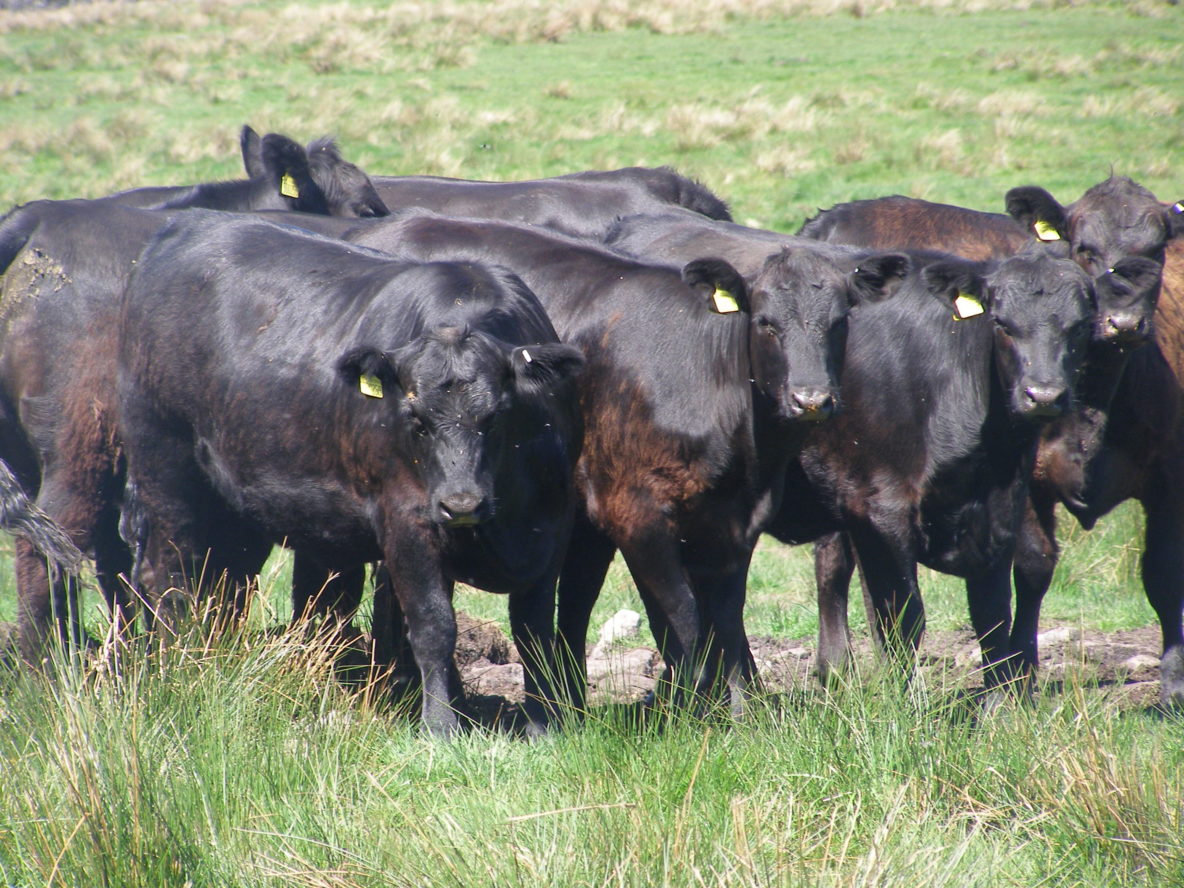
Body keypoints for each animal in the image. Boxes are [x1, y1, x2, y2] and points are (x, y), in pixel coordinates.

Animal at [115, 211, 584, 737]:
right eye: (415, 418)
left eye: (498, 414)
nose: (461, 503)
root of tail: (187, 225)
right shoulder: (406, 518)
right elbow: (433, 624)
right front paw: (441, 725)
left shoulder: (553, 524)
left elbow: (535, 630)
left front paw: (543, 723)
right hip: (166, 472)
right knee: (171, 576)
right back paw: (175, 667)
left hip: (236, 506)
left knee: (222, 583)